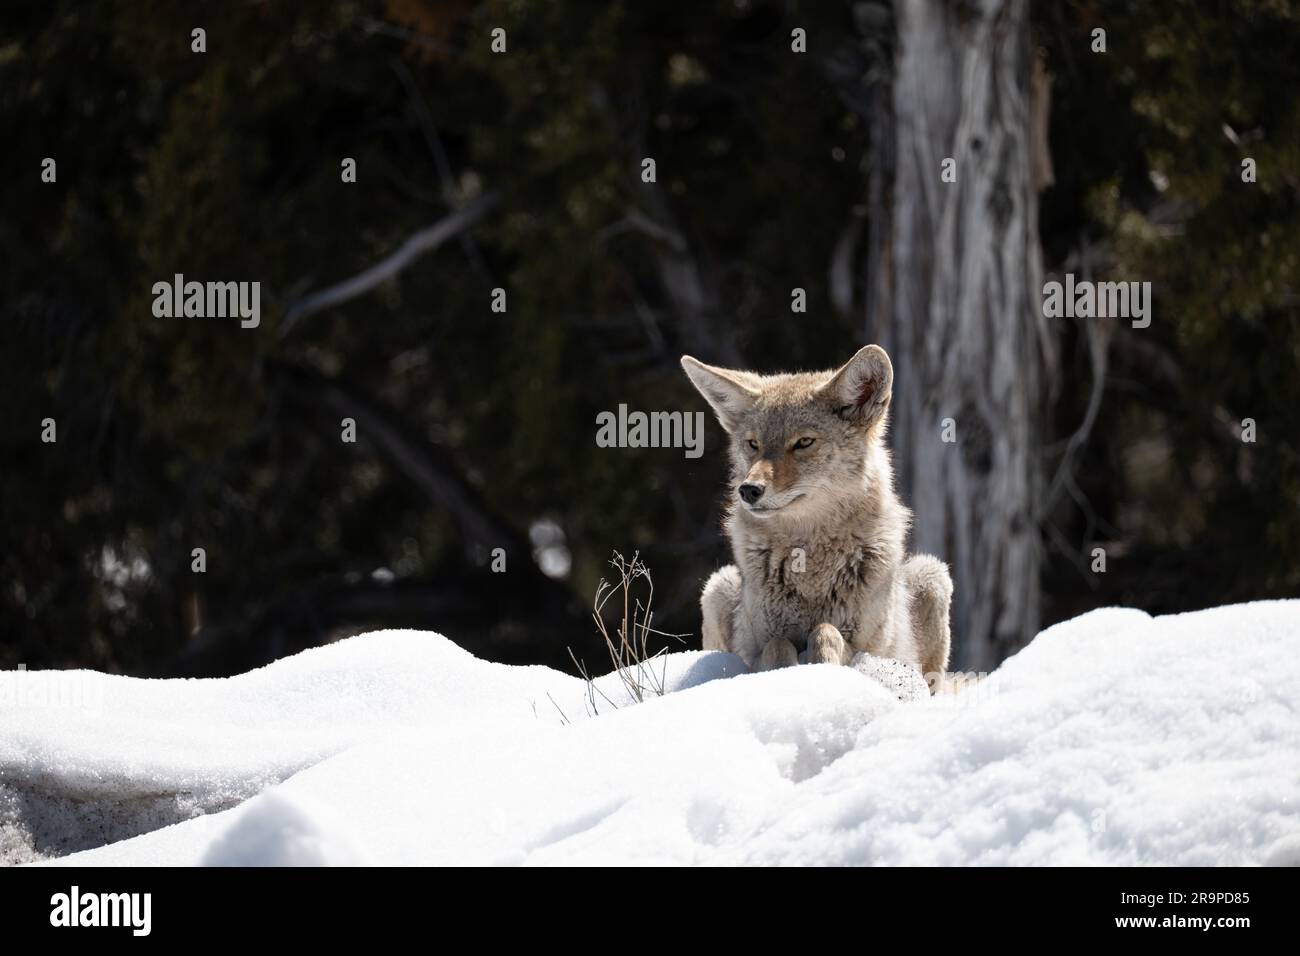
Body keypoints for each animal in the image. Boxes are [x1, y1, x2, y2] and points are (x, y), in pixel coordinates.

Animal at [681, 345, 952, 689]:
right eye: (753, 444)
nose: (749, 490)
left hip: (933, 577)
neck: (809, 560)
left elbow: (826, 633)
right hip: (717, 588)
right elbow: (777, 645)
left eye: (803, 442)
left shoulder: (867, 648)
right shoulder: (754, 648)